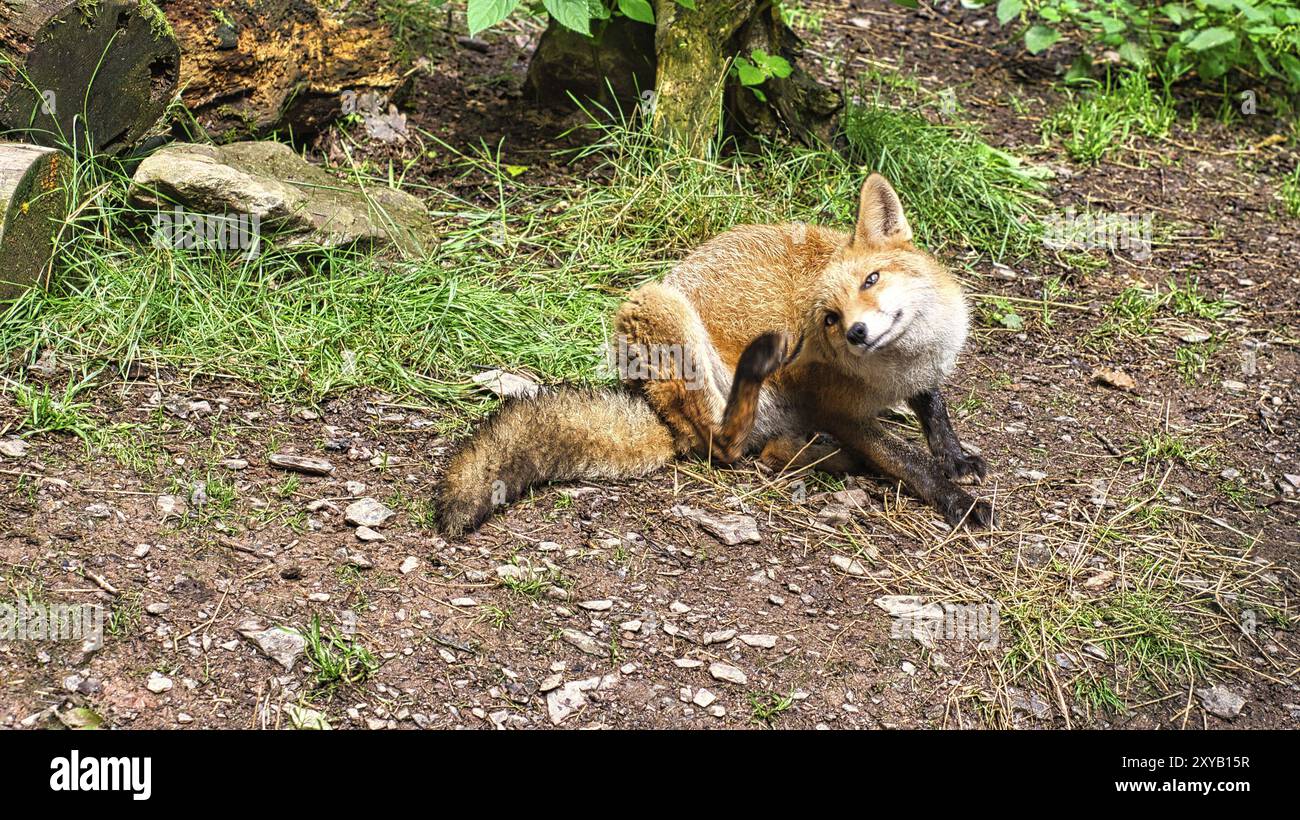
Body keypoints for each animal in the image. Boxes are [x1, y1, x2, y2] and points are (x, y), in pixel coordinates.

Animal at [437, 173, 994, 535]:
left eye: (872, 279)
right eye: (830, 318)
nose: (856, 332)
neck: (897, 368)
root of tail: (655, 412)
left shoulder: (922, 372)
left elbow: (934, 410)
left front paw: (955, 456)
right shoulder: (839, 409)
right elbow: (908, 460)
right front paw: (957, 500)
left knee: (763, 451)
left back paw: (826, 455)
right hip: (665, 315)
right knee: (723, 446)